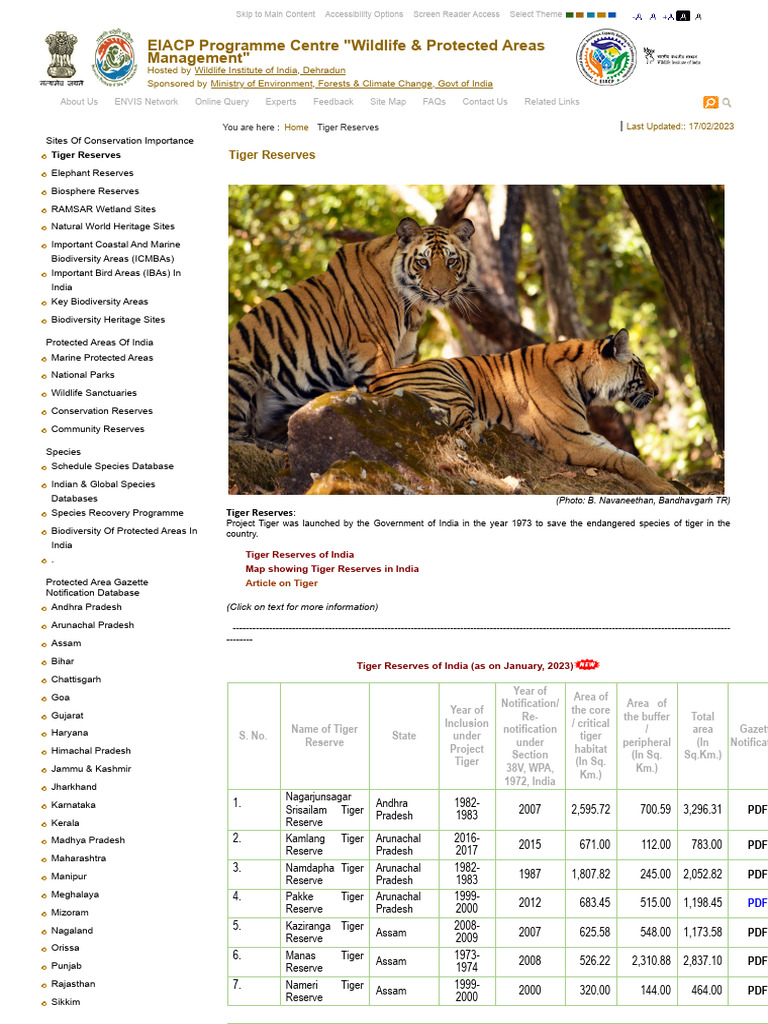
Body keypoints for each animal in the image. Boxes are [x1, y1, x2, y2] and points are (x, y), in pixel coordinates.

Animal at [229, 216, 476, 442]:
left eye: (452, 261)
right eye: (423, 262)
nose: (440, 291)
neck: (413, 308)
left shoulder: (402, 360)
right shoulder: (375, 355)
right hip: (241, 370)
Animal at [368, 329, 678, 495]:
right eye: (641, 370)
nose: (658, 392)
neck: (585, 379)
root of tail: (371, 383)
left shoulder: (580, 433)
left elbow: (623, 454)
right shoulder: (571, 439)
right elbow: (628, 460)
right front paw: (666, 487)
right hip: (449, 377)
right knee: (462, 428)